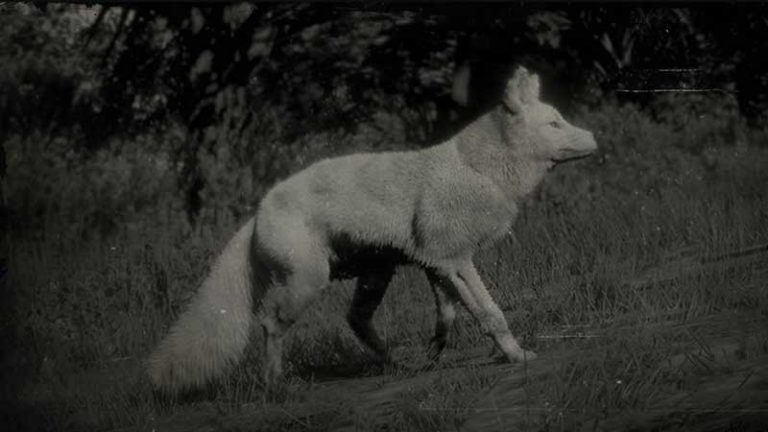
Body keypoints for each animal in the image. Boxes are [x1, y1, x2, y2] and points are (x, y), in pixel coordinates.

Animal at [148, 66, 598, 391]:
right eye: (555, 125)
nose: (595, 137)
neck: (480, 170)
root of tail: (256, 215)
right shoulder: (456, 260)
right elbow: (492, 313)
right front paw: (515, 356)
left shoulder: (436, 264)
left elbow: (449, 316)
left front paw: (434, 352)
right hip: (310, 282)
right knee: (271, 324)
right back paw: (276, 385)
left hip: (376, 274)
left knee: (355, 321)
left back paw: (395, 362)